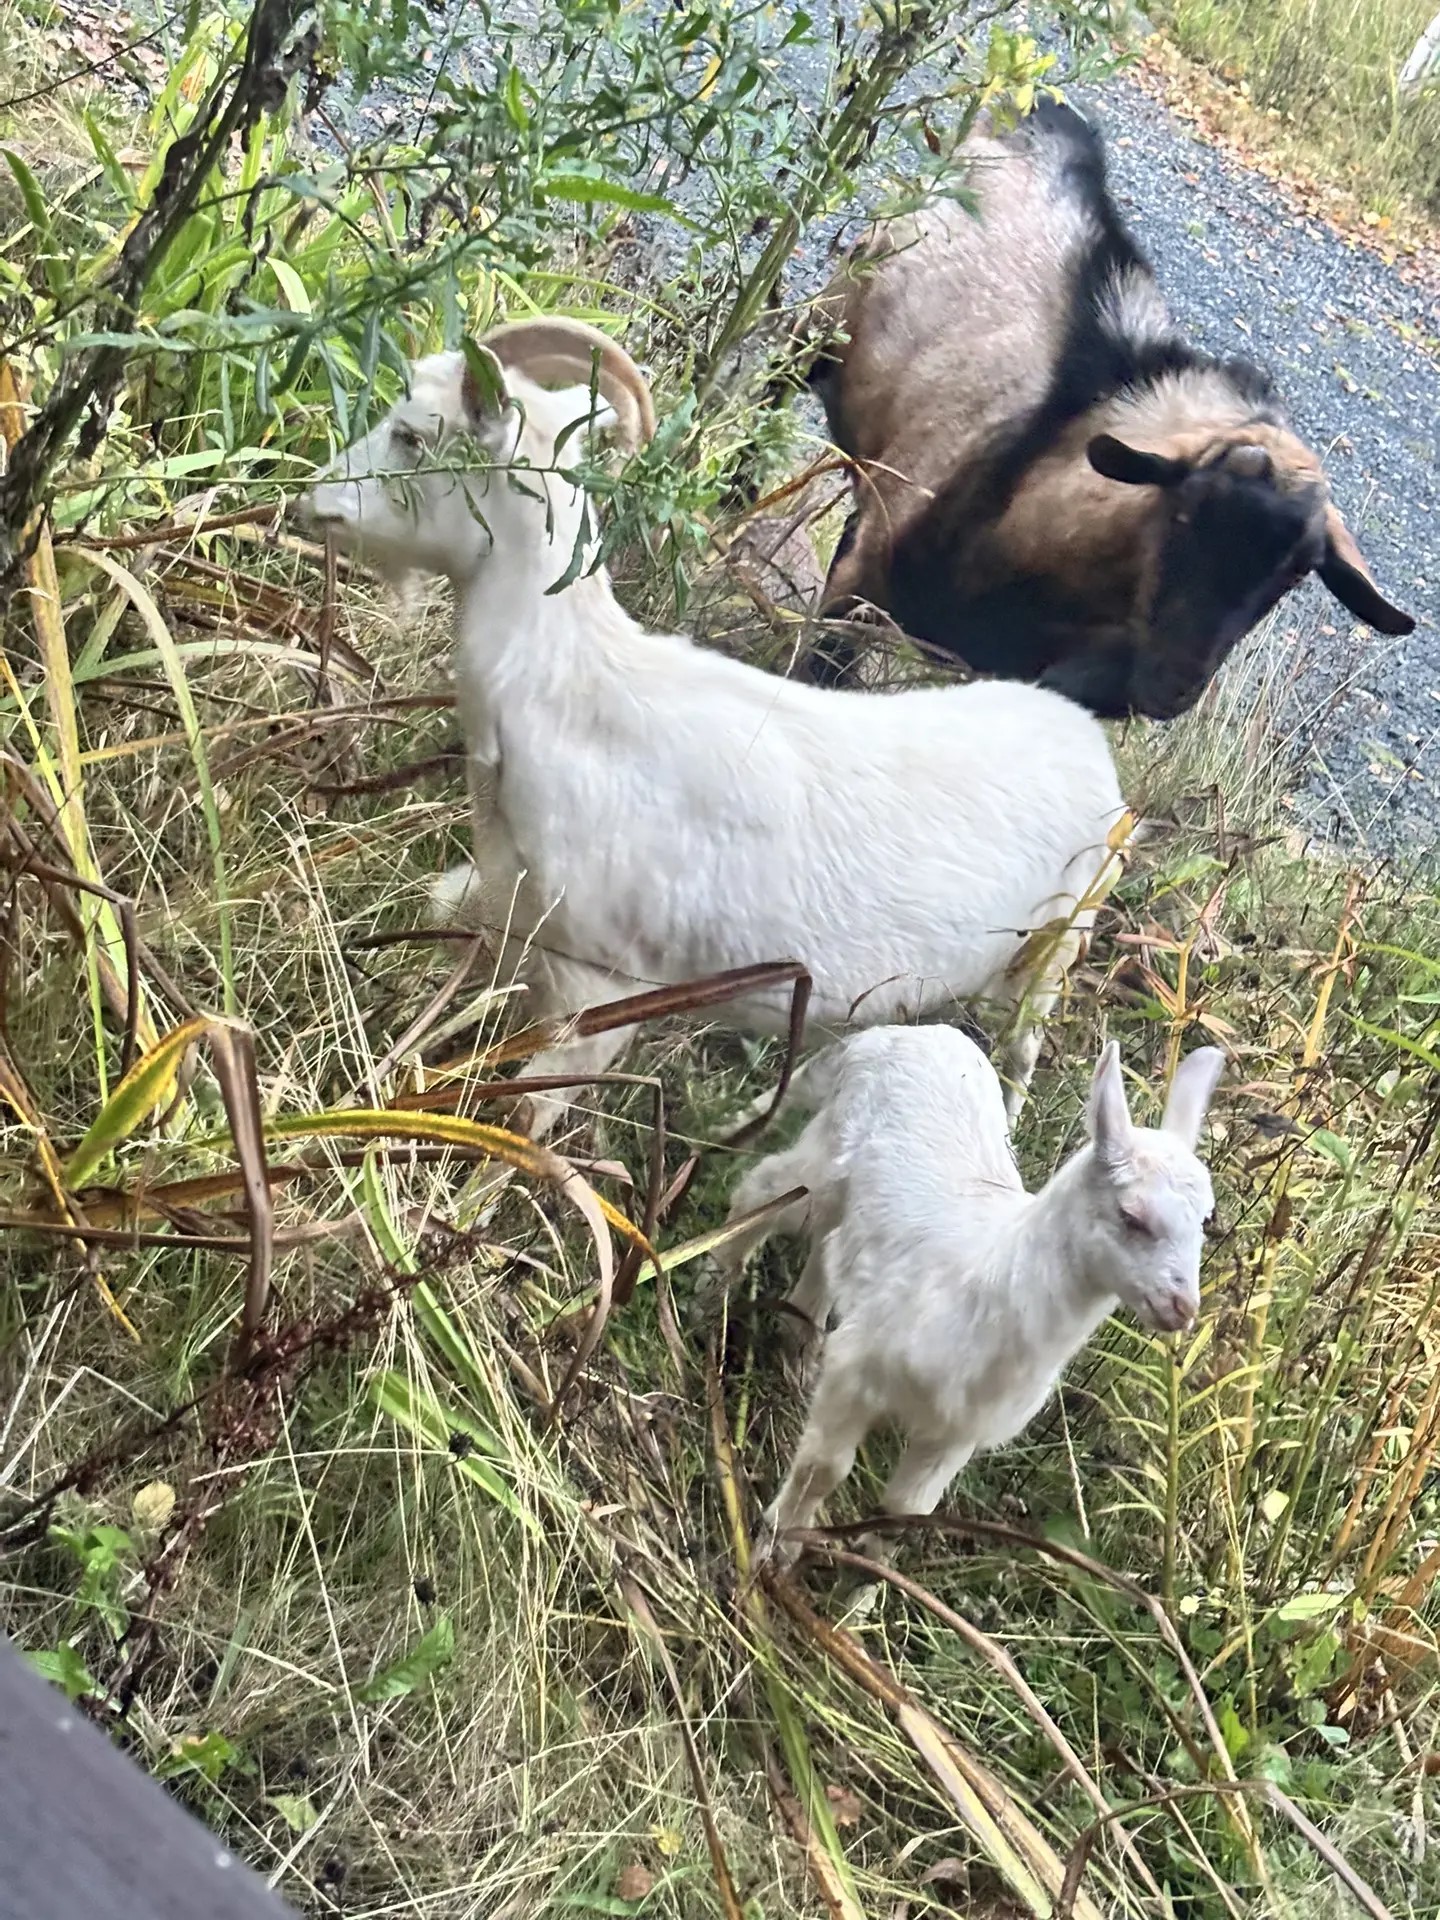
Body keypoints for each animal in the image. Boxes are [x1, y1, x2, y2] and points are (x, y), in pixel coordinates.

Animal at [303, 318, 1131, 1139]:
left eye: (412, 434)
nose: (315, 501)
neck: (570, 694)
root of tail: (1087, 742)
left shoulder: (599, 992)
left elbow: (523, 1121)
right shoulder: (501, 919)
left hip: (1052, 954)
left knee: (1021, 1049)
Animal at [716, 1026, 1223, 1566]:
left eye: (1204, 1222)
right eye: (1132, 1216)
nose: (1183, 1309)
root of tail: (907, 1032)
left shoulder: (960, 1429)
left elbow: (907, 1508)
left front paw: (866, 1572)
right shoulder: (858, 1367)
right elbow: (824, 1466)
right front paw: (775, 1547)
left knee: (829, 1244)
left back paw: (800, 1346)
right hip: (829, 1157)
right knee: (767, 1189)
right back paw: (716, 1284)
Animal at [796, 98, 1413, 718]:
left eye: (1298, 571)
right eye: (1187, 508)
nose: (1170, 689)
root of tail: (1041, 111)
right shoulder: (863, 580)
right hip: (820, 325)